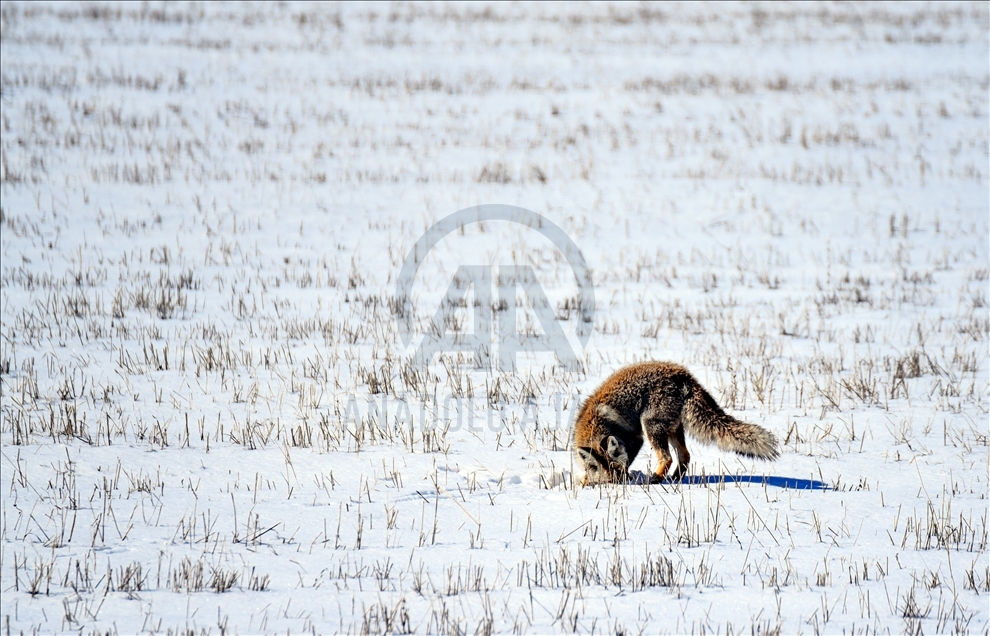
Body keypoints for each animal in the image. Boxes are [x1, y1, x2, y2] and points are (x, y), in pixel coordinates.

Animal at [574, 361, 779, 486]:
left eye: (617, 471)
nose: (620, 483)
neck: (598, 423)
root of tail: (683, 375)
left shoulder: (636, 439)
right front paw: (584, 482)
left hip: (651, 428)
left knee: (667, 458)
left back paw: (655, 480)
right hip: (673, 430)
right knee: (685, 456)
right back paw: (675, 479)